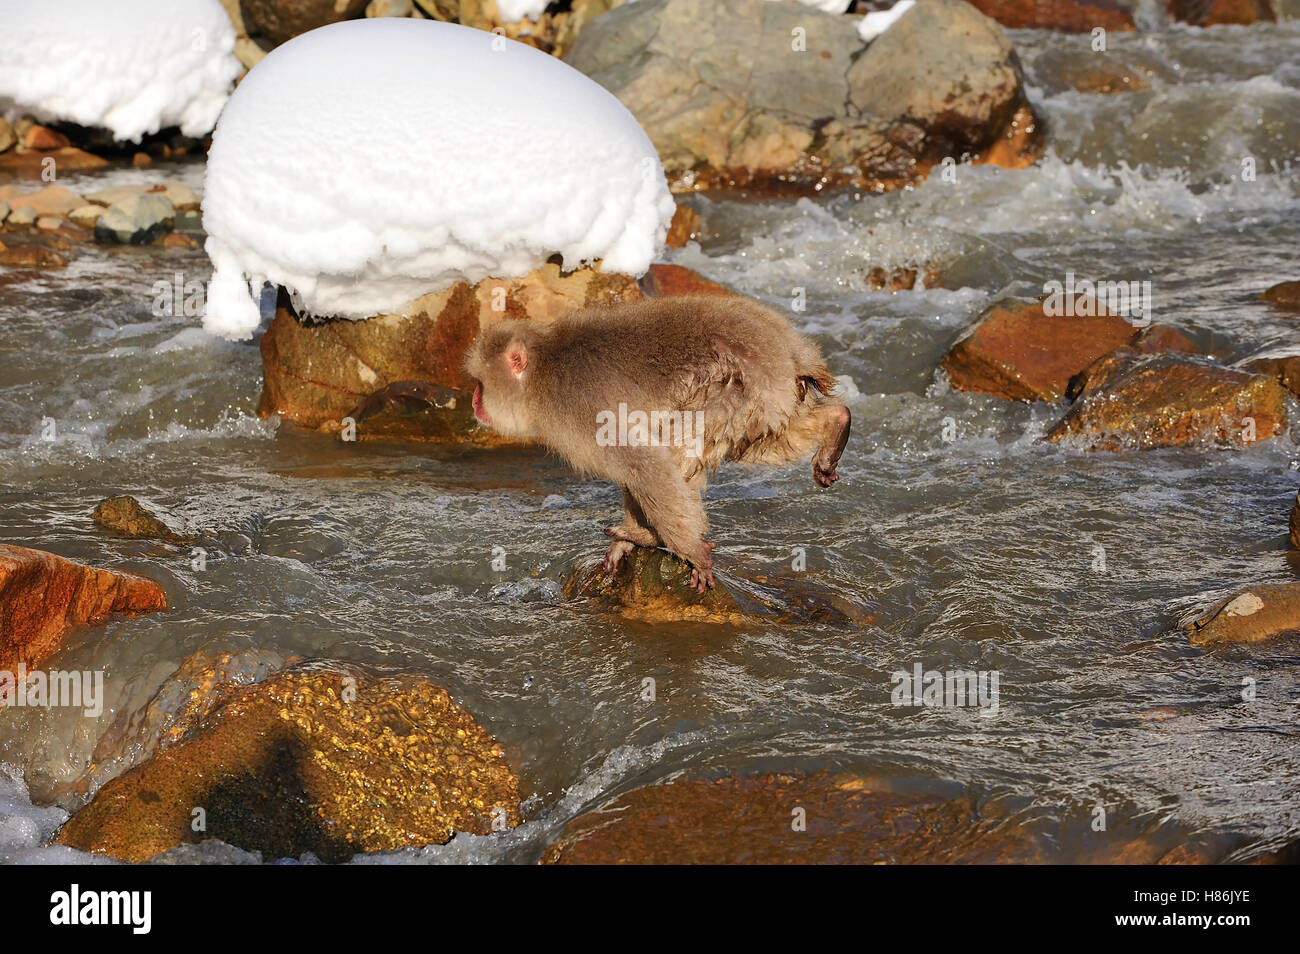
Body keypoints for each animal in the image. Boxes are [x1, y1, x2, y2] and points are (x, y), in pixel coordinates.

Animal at [464, 295, 851, 593]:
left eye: (481, 383)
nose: (473, 401)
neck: (543, 373)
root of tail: (787, 348)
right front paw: (629, 542)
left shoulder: (582, 408)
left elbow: (642, 462)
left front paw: (685, 548)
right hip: (771, 400)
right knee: (760, 438)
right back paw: (837, 421)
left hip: (739, 389)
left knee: (679, 442)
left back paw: (653, 537)